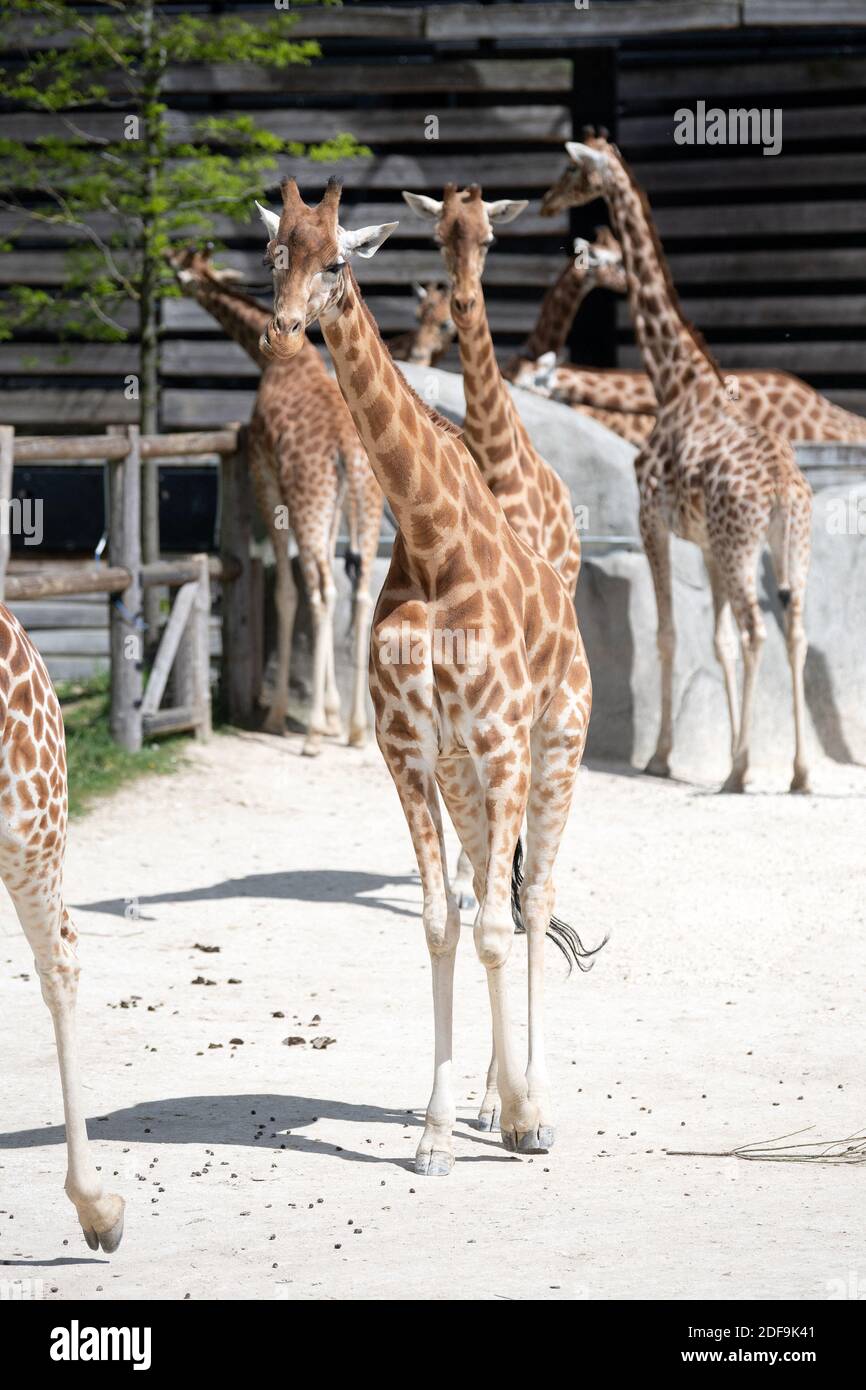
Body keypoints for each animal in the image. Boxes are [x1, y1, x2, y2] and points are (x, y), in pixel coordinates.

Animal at [168, 246, 382, 753]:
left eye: (181, 270)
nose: (164, 260)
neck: (275, 363)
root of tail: (347, 450)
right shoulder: (330, 510)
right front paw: (331, 713)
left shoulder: (267, 480)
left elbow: (285, 591)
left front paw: (284, 715)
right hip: (364, 505)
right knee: (359, 591)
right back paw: (355, 729)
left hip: (308, 502)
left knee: (320, 591)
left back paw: (311, 733)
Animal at [256, 176, 595, 1169]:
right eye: (275, 255)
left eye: (338, 260)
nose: (281, 331)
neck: (433, 542)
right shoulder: (410, 750)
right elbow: (443, 920)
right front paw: (442, 1130)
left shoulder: (502, 739)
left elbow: (496, 921)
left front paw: (525, 1114)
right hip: (466, 777)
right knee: (492, 892)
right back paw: (493, 1101)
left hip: (554, 747)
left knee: (532, 899)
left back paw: (531, 1106)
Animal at [542, 136, 812, 793]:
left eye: (572, 169)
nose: (546, 201)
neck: (676, 378)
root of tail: (782, 489)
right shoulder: (709, 545)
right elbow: (715, 642)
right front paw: (724, 744)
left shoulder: (652, 522)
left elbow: (667, 635)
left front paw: (663, 756)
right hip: (789, 546)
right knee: (794, 631)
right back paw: (797, 771)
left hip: (745, 545)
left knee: (758, 629)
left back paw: (740, 772)